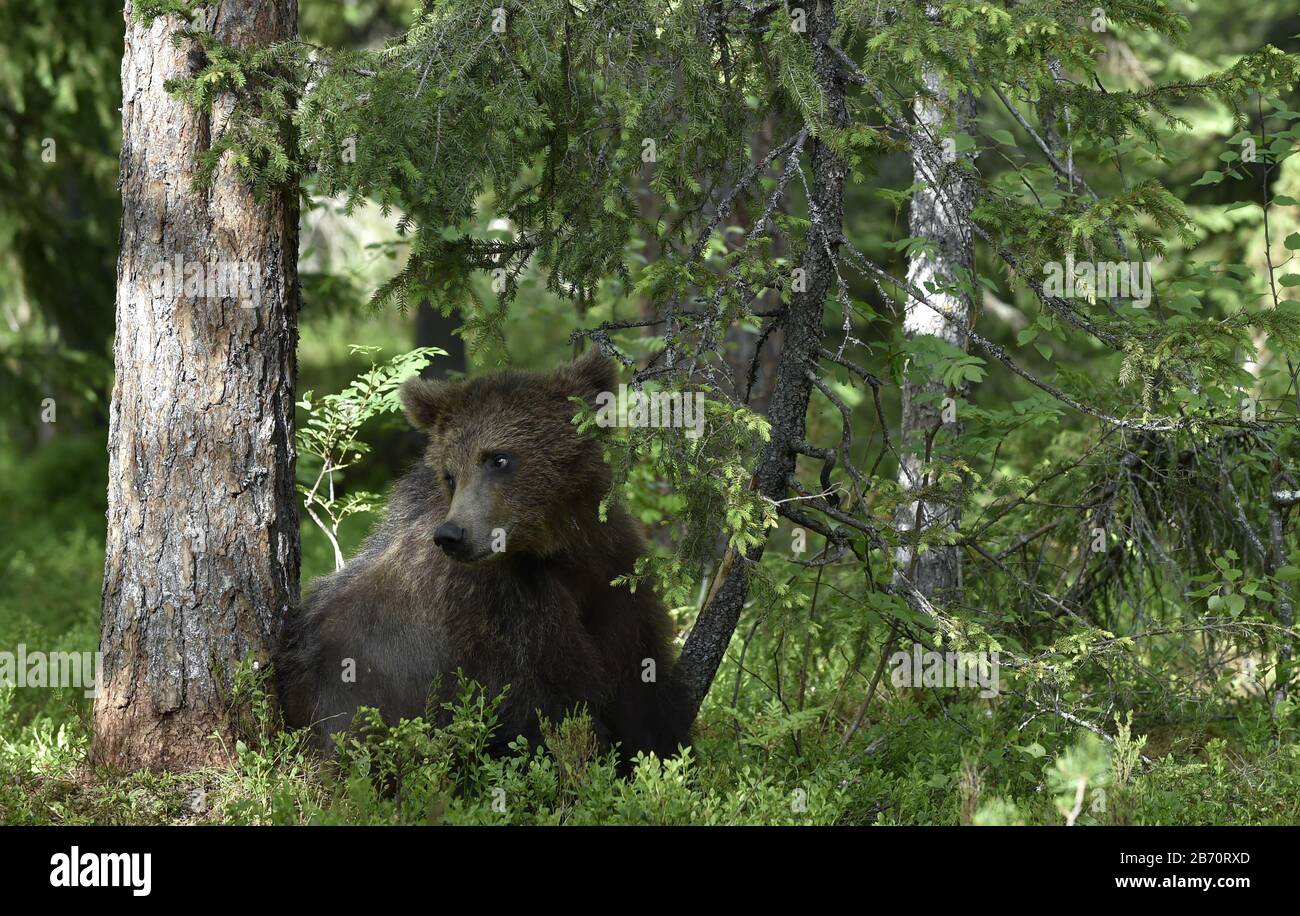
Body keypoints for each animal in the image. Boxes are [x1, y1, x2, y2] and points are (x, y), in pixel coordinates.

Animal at [275, 349, 692, 773]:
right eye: (450, 474)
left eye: (499, 459)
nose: (452, 535)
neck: (556, 551)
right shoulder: (496, 615)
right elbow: (550, 705)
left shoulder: (613, 575)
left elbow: (638, 683)